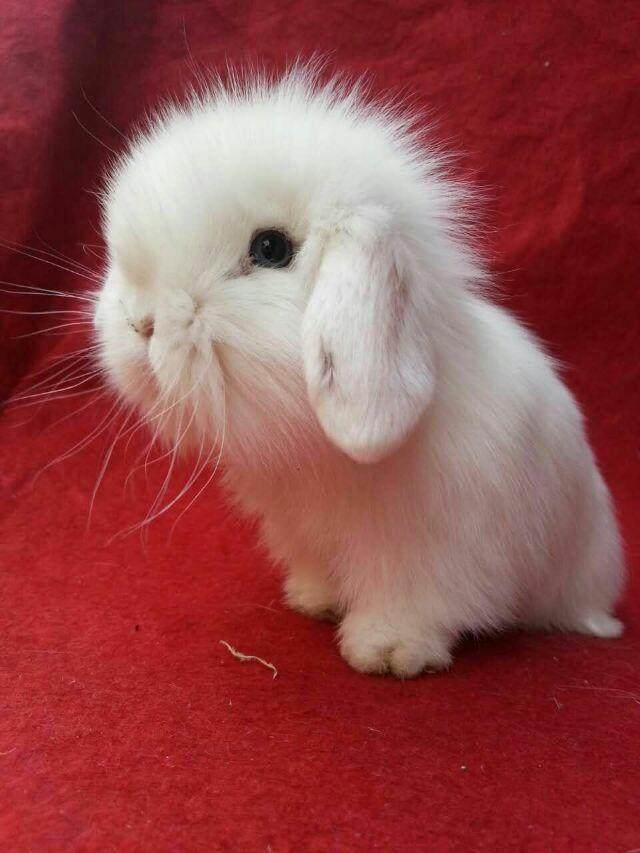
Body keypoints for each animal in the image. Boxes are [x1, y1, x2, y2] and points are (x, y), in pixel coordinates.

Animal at [94, 68, 625, 677]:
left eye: (270, 248)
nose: (140, 323)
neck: (323, 460)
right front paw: (313, 600)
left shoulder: (432, 551)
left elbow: (414, 601)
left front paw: (385, 651)